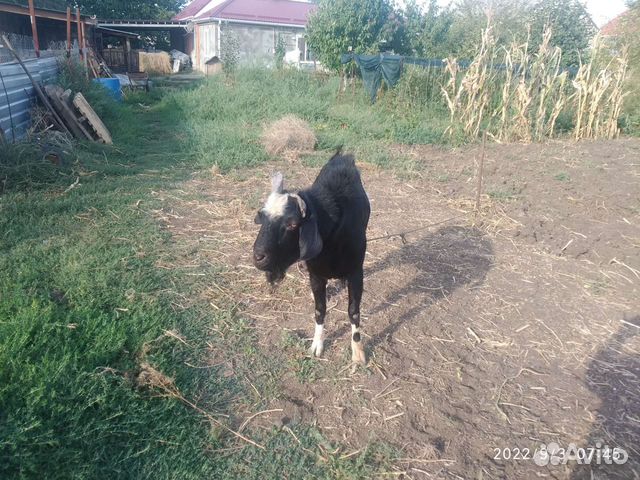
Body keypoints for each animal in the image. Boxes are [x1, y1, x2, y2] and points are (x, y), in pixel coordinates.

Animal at [252, 151, 371, 365]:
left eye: (292, 224)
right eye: (262, 218)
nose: (258, 257)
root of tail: (342, 155)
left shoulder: (356, 272)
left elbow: (354, 311)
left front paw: (358, 352)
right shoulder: (316, 274)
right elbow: (319, 309)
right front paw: (317, 345)